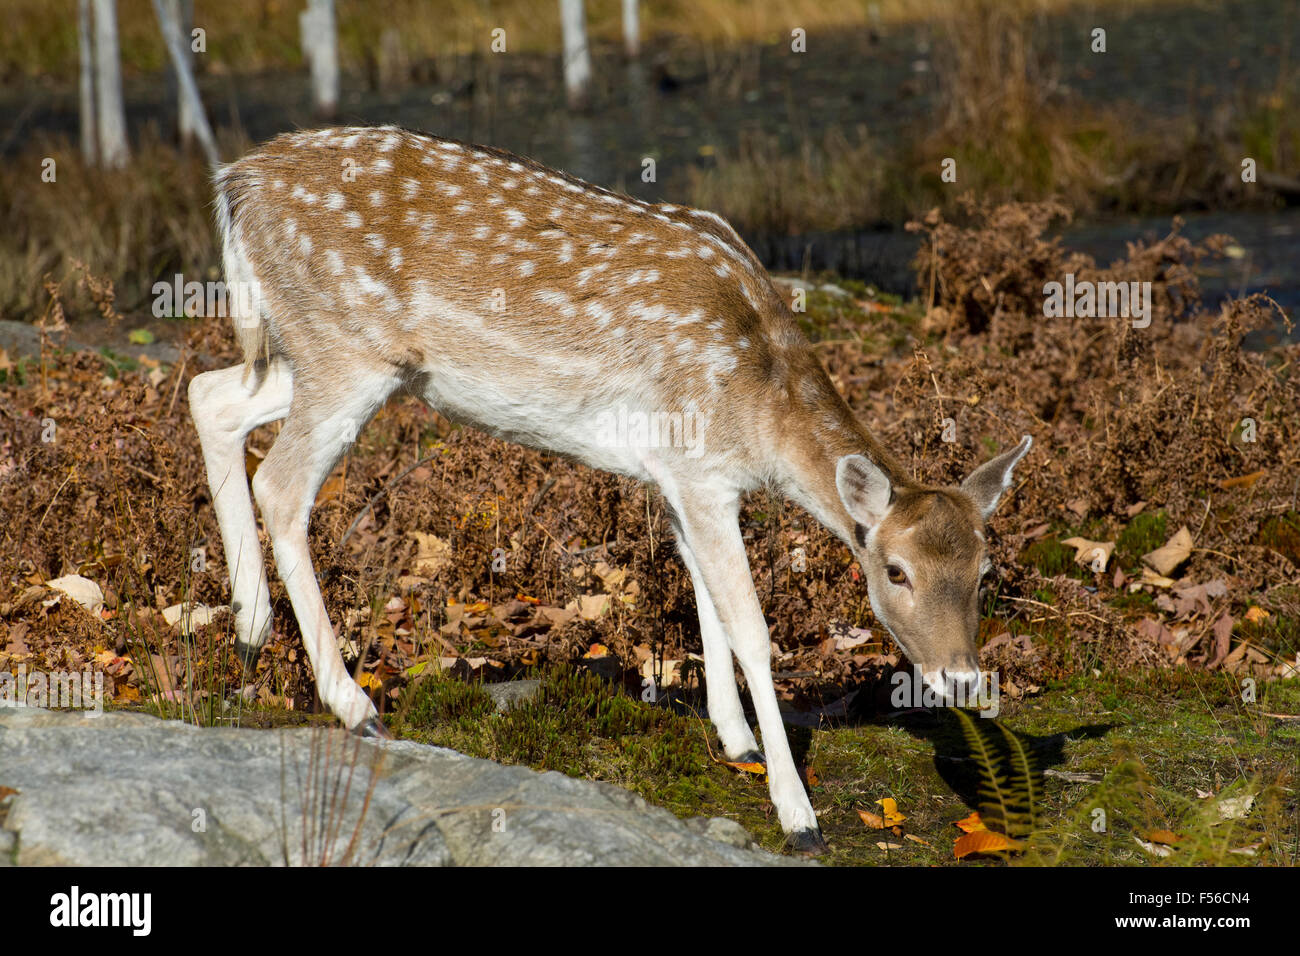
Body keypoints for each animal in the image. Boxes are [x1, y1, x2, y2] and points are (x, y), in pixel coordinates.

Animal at [189, 125, 1032, 854]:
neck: (758, 400)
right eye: (896, 572)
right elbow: (753, 628)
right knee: (280, 482)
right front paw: (798, 813)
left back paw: (249, 633)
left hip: (320, 355)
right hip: (345, 346)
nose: (963, 677)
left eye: (987, 572)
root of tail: (235, 181)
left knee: (210, 395)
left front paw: (734, 738)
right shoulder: (700, 466)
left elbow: (703, 594)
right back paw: (353, 704)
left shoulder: (680, 475)